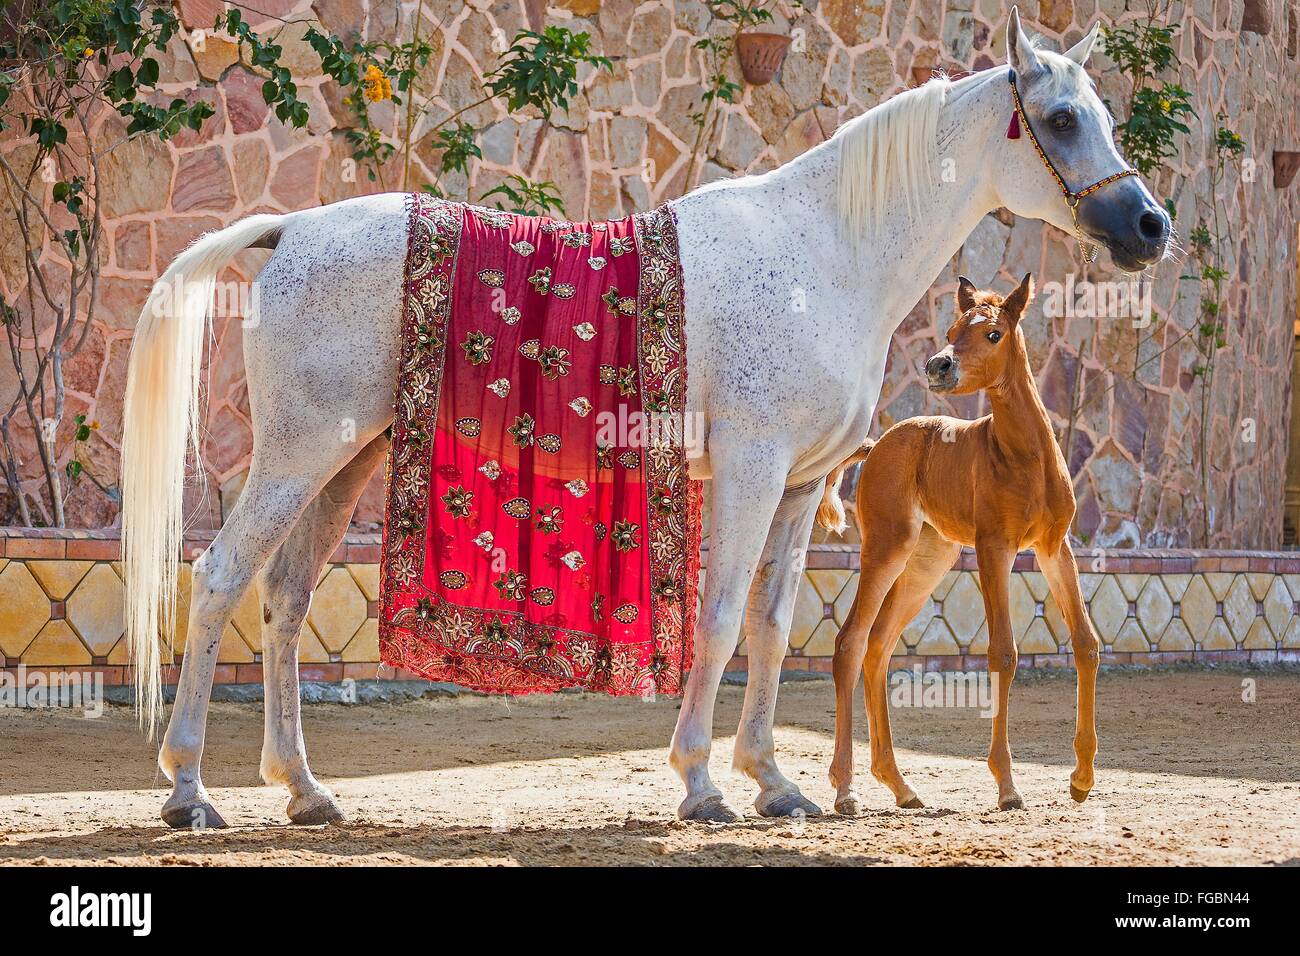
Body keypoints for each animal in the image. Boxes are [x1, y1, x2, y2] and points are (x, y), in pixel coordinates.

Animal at [817, 273, 1101, 816]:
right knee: (849, 643)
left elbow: (1086, 644)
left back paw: (901, 786)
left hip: (928, 562)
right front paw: (1008, 786)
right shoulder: (994, 548)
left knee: (878, 645)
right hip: (887, 548)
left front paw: (1082, 779)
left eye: (993, 334)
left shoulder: (1055, 548)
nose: (938, 365)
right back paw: (845, 790)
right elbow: (1003, 653)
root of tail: (876, 446)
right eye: (950, 330)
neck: (1025, 457)